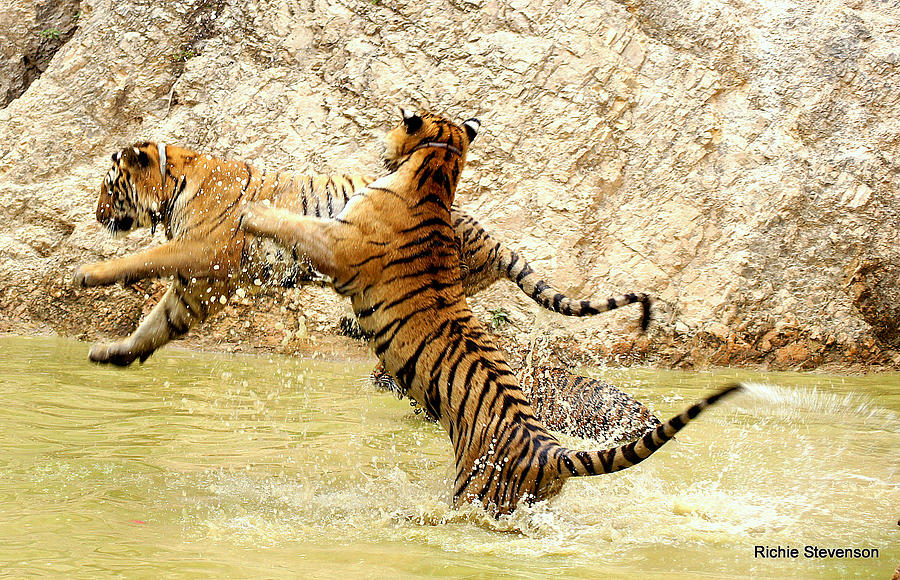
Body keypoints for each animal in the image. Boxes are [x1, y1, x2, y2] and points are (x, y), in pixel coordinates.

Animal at [74, 143, 650, 367]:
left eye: (108, 186)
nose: (98, 214)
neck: (174, 184)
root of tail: (483, 230)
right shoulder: (201, 285)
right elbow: (158, 322)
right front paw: (115, 352)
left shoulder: (207, 250)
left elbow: (145, 260)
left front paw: (89, 273)